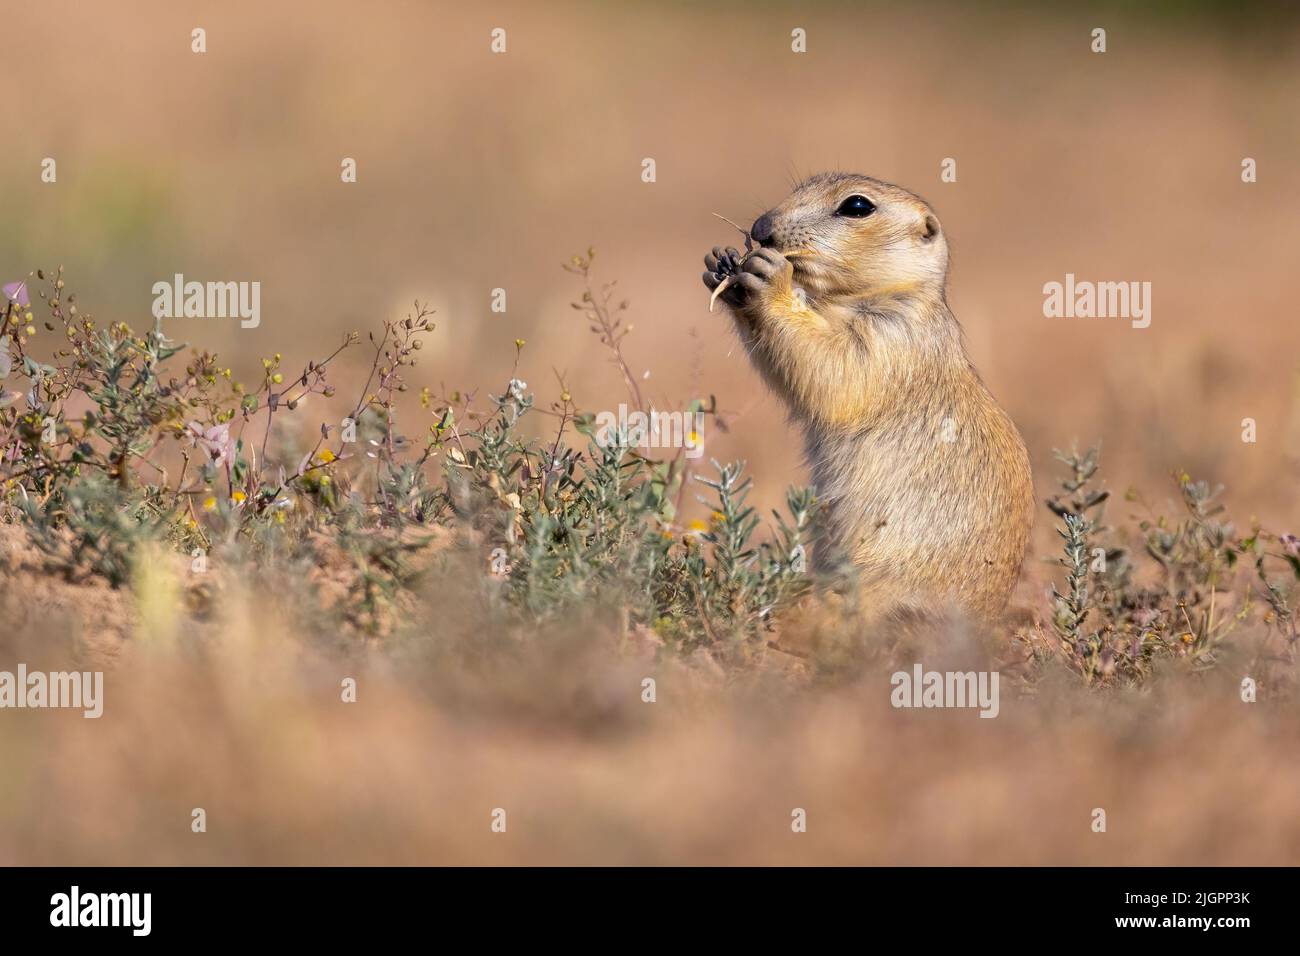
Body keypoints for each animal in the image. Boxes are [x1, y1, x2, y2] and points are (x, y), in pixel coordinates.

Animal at [703, 172, 1034, 624]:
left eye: (857, 206)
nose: (759, 228)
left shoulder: (892, 337)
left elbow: (838, 371)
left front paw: (766, 278)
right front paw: (721, 264)